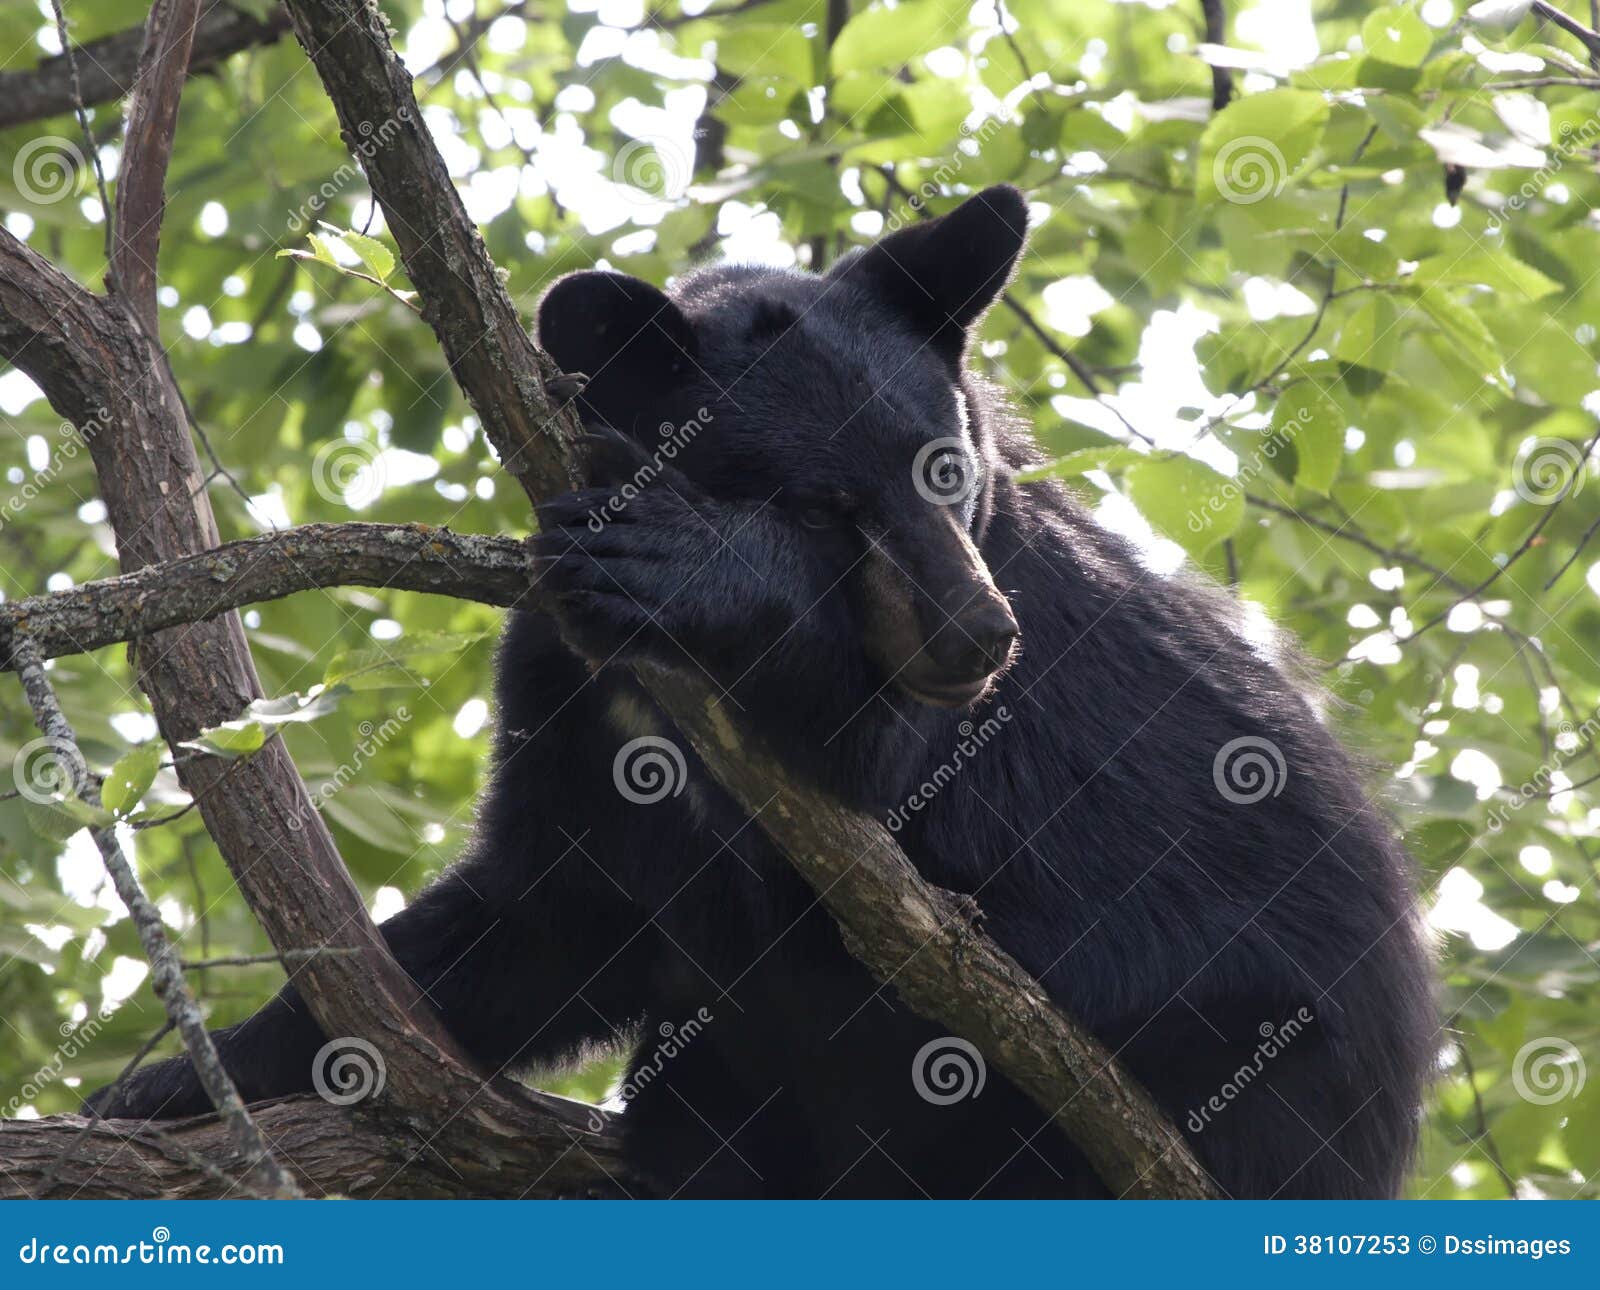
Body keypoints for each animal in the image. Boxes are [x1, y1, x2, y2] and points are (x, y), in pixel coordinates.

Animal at [88, 185, 1434, 1199]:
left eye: (947, 468)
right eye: (820, 503)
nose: (977, 638)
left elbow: (866, 790)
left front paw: (697, 572)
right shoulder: (567, 691)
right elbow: (527, 915)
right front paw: (165, 1088)